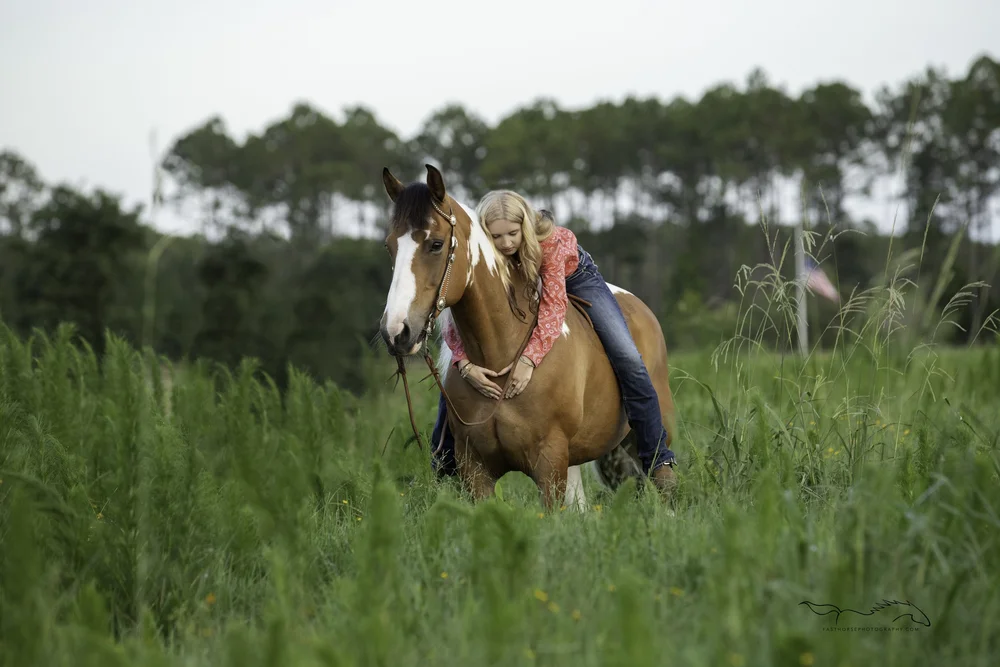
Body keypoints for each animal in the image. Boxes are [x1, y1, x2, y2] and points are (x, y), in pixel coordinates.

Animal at [378, 164, 678, 510]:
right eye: (390, 246)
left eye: (436, 244)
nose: (396, 331)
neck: (500, 351)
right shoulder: (474, 470)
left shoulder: (549, 463)